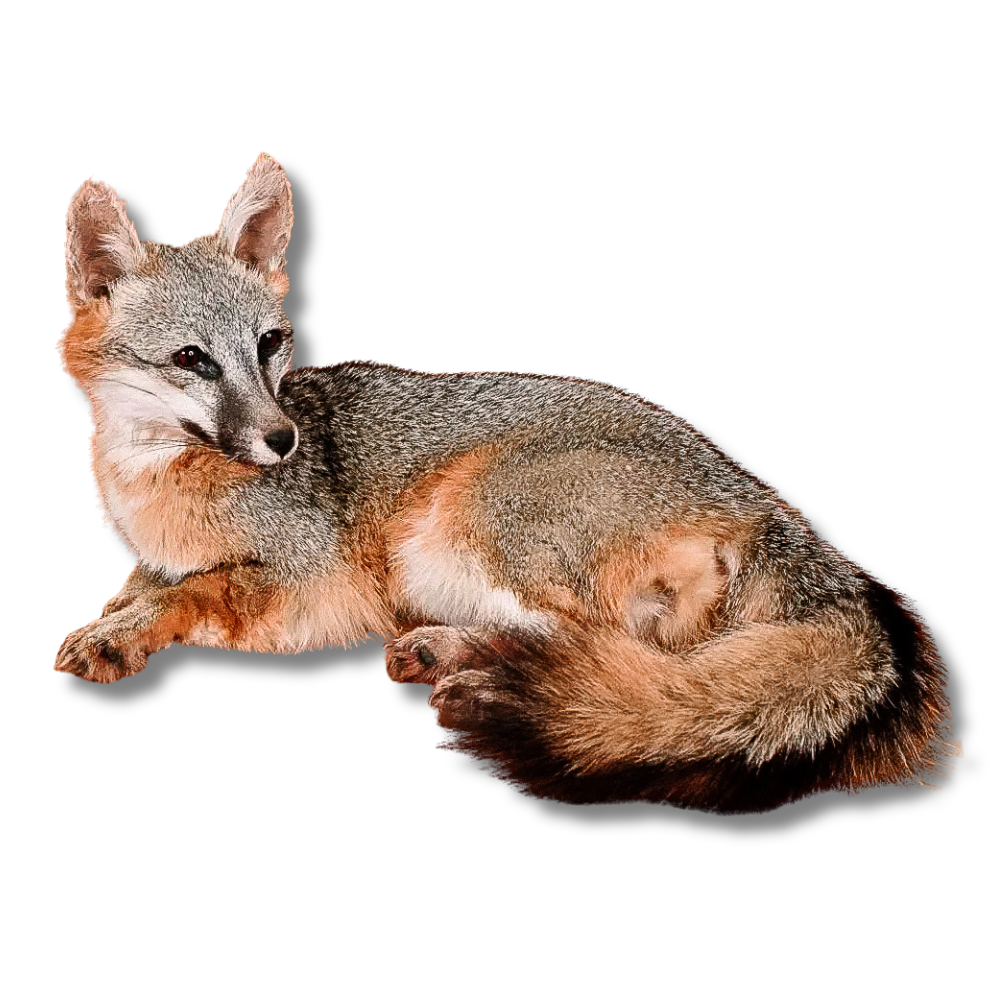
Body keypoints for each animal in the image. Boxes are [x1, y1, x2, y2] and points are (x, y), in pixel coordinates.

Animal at [55, 152, 961, 813]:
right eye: (192, 359)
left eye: (270, 345)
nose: (284, 440)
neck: (157, 492)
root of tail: (767, 504)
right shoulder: (162, 553)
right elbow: (143, 583)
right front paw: (117, 611)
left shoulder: (314, 581)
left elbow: (195, 593)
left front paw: (120, 635)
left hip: (460, 527)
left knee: (606, 652)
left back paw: (467, 660)